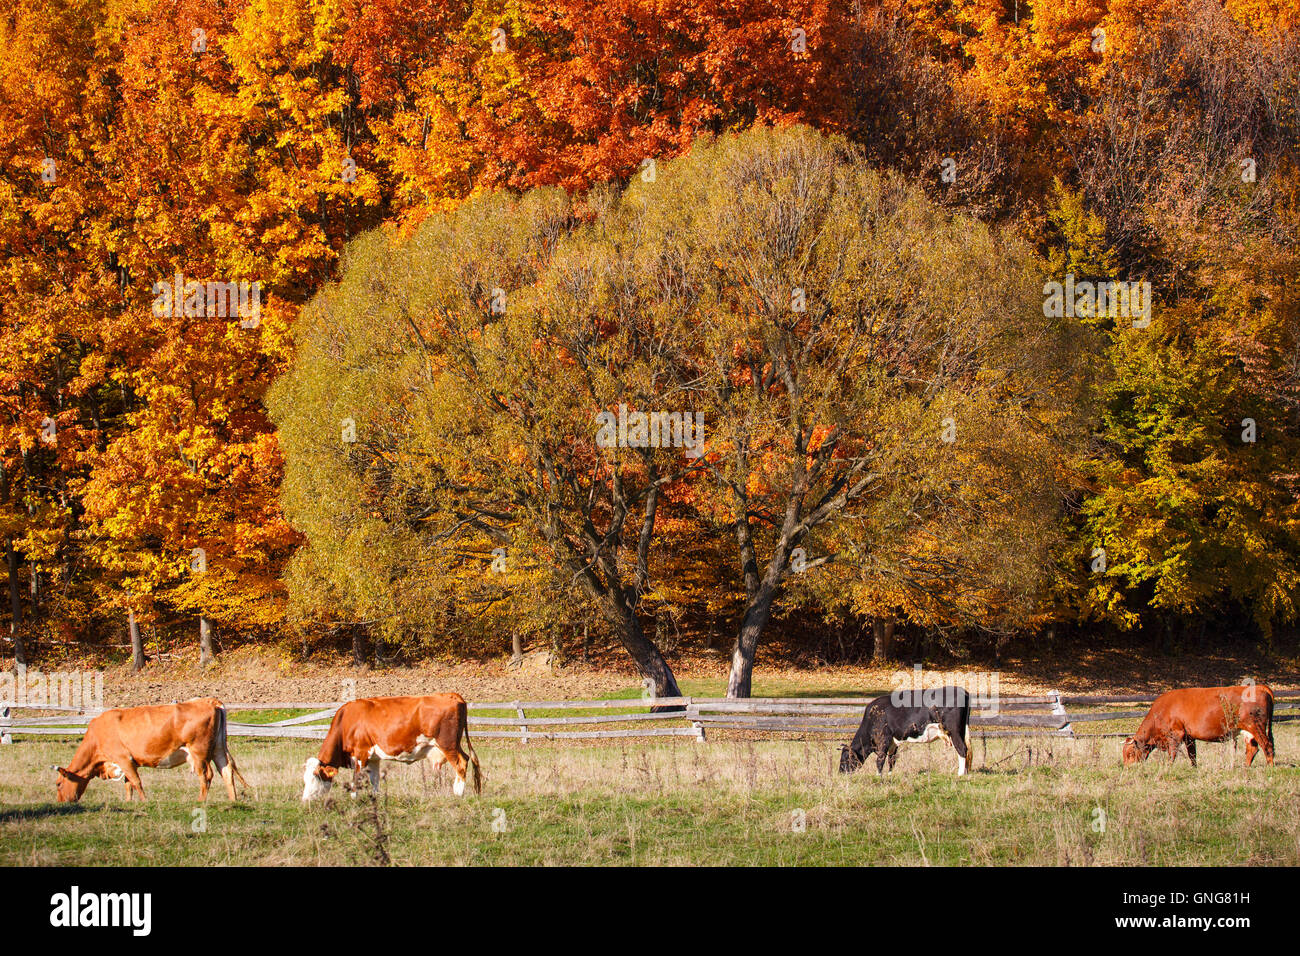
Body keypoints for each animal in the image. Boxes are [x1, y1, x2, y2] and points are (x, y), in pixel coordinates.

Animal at [54, 697, 248, 802]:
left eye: (58, 784)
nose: (61, 803)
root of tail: (208, 700)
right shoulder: (128, 763)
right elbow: (128, 785)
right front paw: (129, 803)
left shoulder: (123, 759)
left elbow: (136, 782)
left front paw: (144, 801)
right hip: (218, 748)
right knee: (226, 771)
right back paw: (233, 801)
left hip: (199, 751)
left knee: (207, 776)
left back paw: (200, 801)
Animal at [302, 693, 482, 802]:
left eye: (316, 777)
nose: (305, 800)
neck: (347, 721)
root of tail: (452, 695)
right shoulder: (373, 758)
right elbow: (374, 780)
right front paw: (376, 798)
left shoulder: (360, 754)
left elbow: (356, 779)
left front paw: (354, 799)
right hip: (453, 744)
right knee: (468, 758)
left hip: (448, 744)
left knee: (461, 763)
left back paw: (458, 793)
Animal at [839, 685, 973, 776]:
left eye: (846, 758)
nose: (840, 772)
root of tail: (961, 690)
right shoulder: (893, 742)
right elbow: (891, 759)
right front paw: (890, 775)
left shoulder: (884, 739)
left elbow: (880, 759)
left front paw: (878, 776)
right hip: (962, 730)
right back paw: (965, 772)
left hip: (954, 730)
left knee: (961, 749)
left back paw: (960, 773)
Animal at [1123, 684, 1274, 768]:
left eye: (1130, 753)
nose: (1127, 768)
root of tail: (1260, 687)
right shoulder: (1189, 736)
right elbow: (1192, 755)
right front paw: (1194, 768)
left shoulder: (1176, 734)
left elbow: (1173, 754)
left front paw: (1169, 767)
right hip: (1247, 730)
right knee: (1253, 748)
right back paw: (1246, 767)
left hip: (1256, 726)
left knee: (1267, 746)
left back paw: (1270, 766)